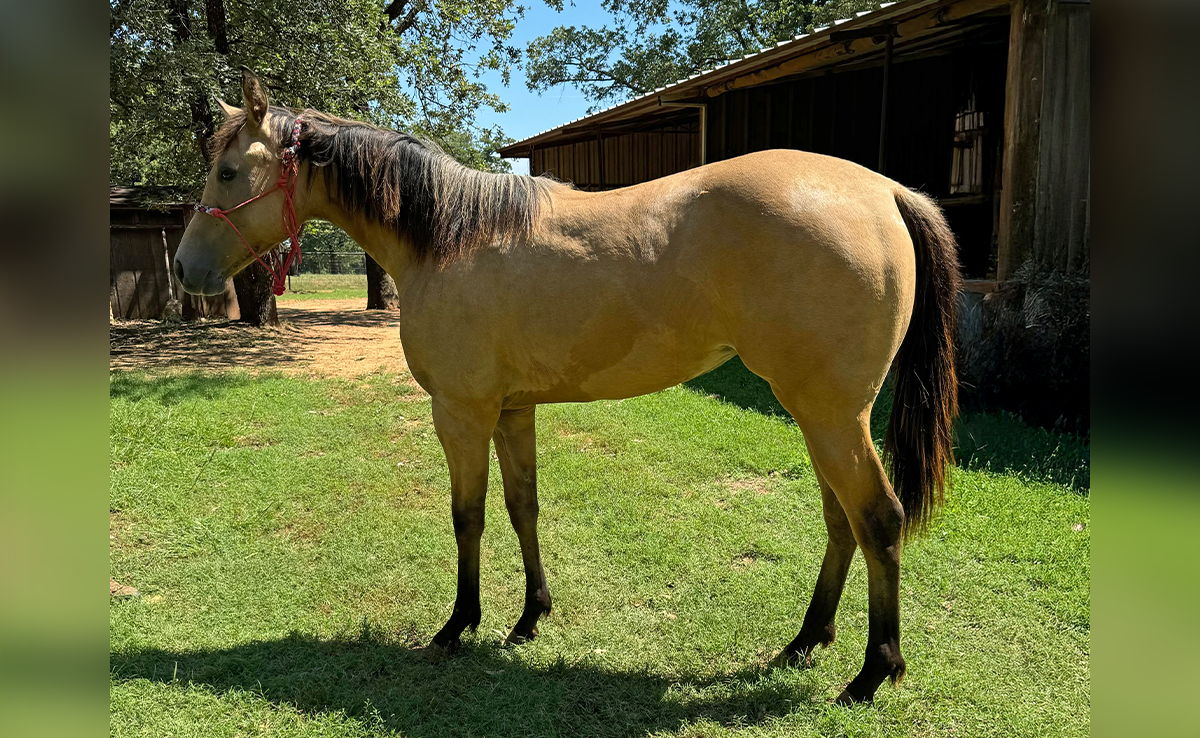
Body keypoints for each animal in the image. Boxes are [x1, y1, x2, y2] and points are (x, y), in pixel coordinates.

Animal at [174, 69, 960, 705]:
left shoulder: (460, 412)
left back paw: (872, 672)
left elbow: (468, 516)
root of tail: (883, 191)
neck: (450, 238)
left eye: (229, 172)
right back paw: (805, 641)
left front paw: (458, 625)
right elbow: (523, 509)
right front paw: (529, 617)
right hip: (820, 416)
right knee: (842, 521)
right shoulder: (512, 410)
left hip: (831, 416)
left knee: (878, 520)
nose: (185, 270)